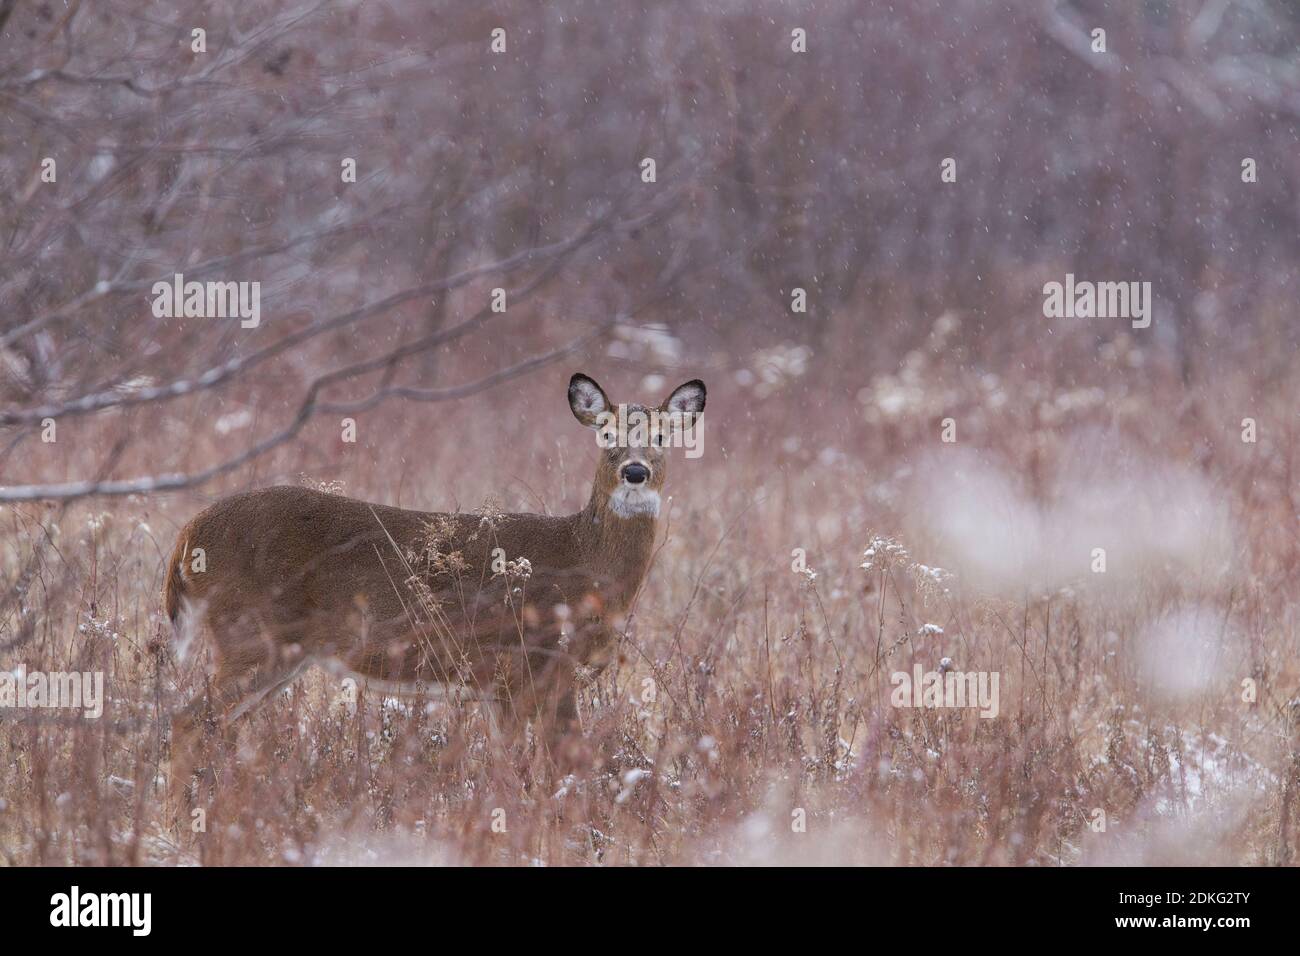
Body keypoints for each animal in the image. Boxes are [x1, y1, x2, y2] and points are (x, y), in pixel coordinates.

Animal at [161, 372, 705, 815]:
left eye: (662, 436)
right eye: (606, 433)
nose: (635, 472)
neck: (585, 562)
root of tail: (187, 534)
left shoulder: (516, 681)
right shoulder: (527, 662)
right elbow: (547, 765)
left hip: (281, 653)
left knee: (217, 727)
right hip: (250, 634)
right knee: (187, 721)